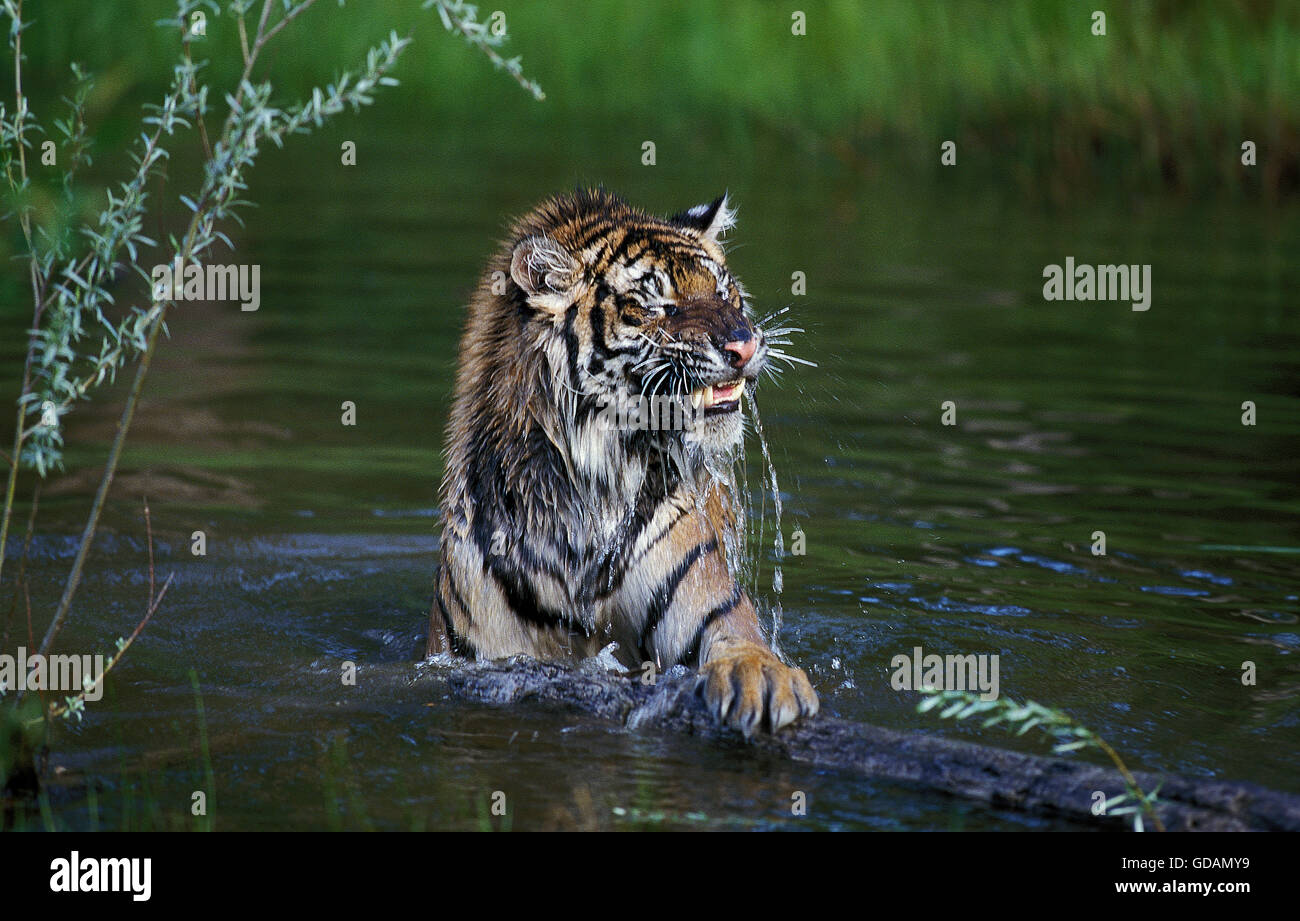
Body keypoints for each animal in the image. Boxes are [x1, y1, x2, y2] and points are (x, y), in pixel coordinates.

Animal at [426, 188, 818, 737]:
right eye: (656, 303)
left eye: (724, 292)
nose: (744, 345)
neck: (591, 486)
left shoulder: (705, 598)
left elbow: (741, 641)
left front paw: (763, 679)